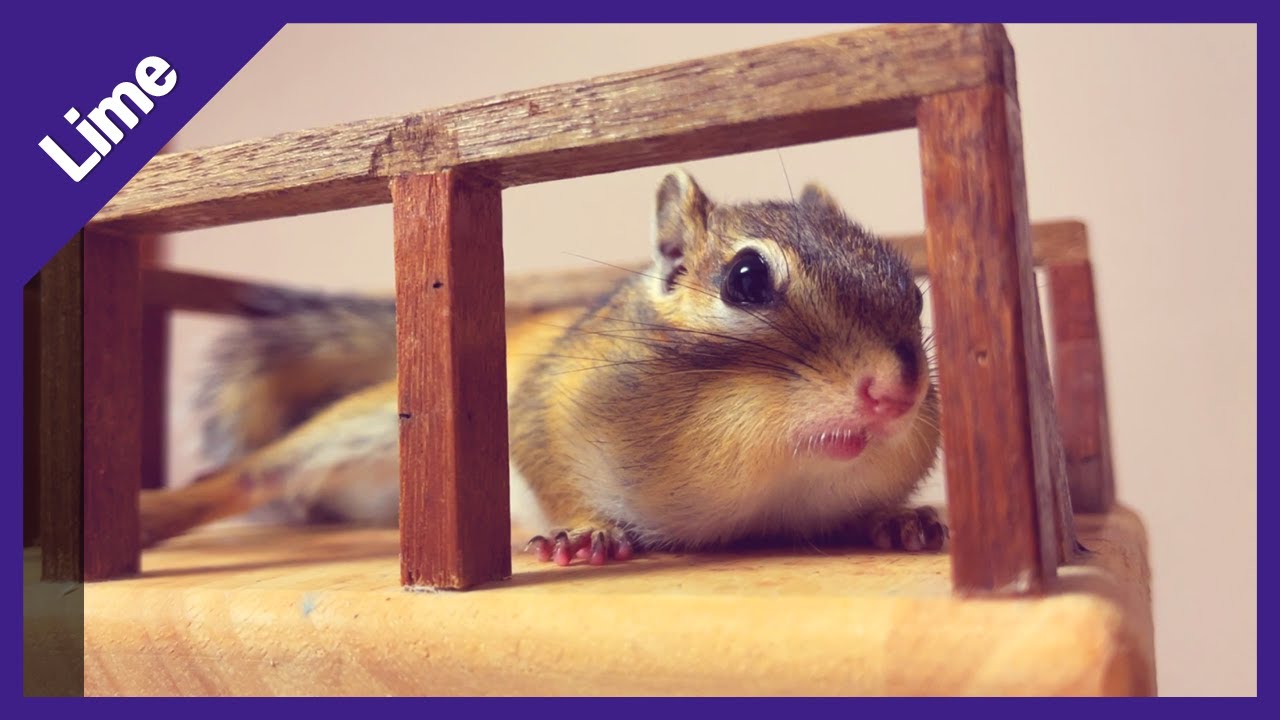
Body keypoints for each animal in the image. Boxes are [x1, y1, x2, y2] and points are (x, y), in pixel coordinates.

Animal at [139, 170, 945, 566]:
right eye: (746, 278)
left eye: (911, 286)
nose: (895, 392)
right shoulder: (545, 404)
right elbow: (547, 469)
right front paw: (584, 533)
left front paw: (900, 520)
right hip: (359, 428)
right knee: (254, 472)